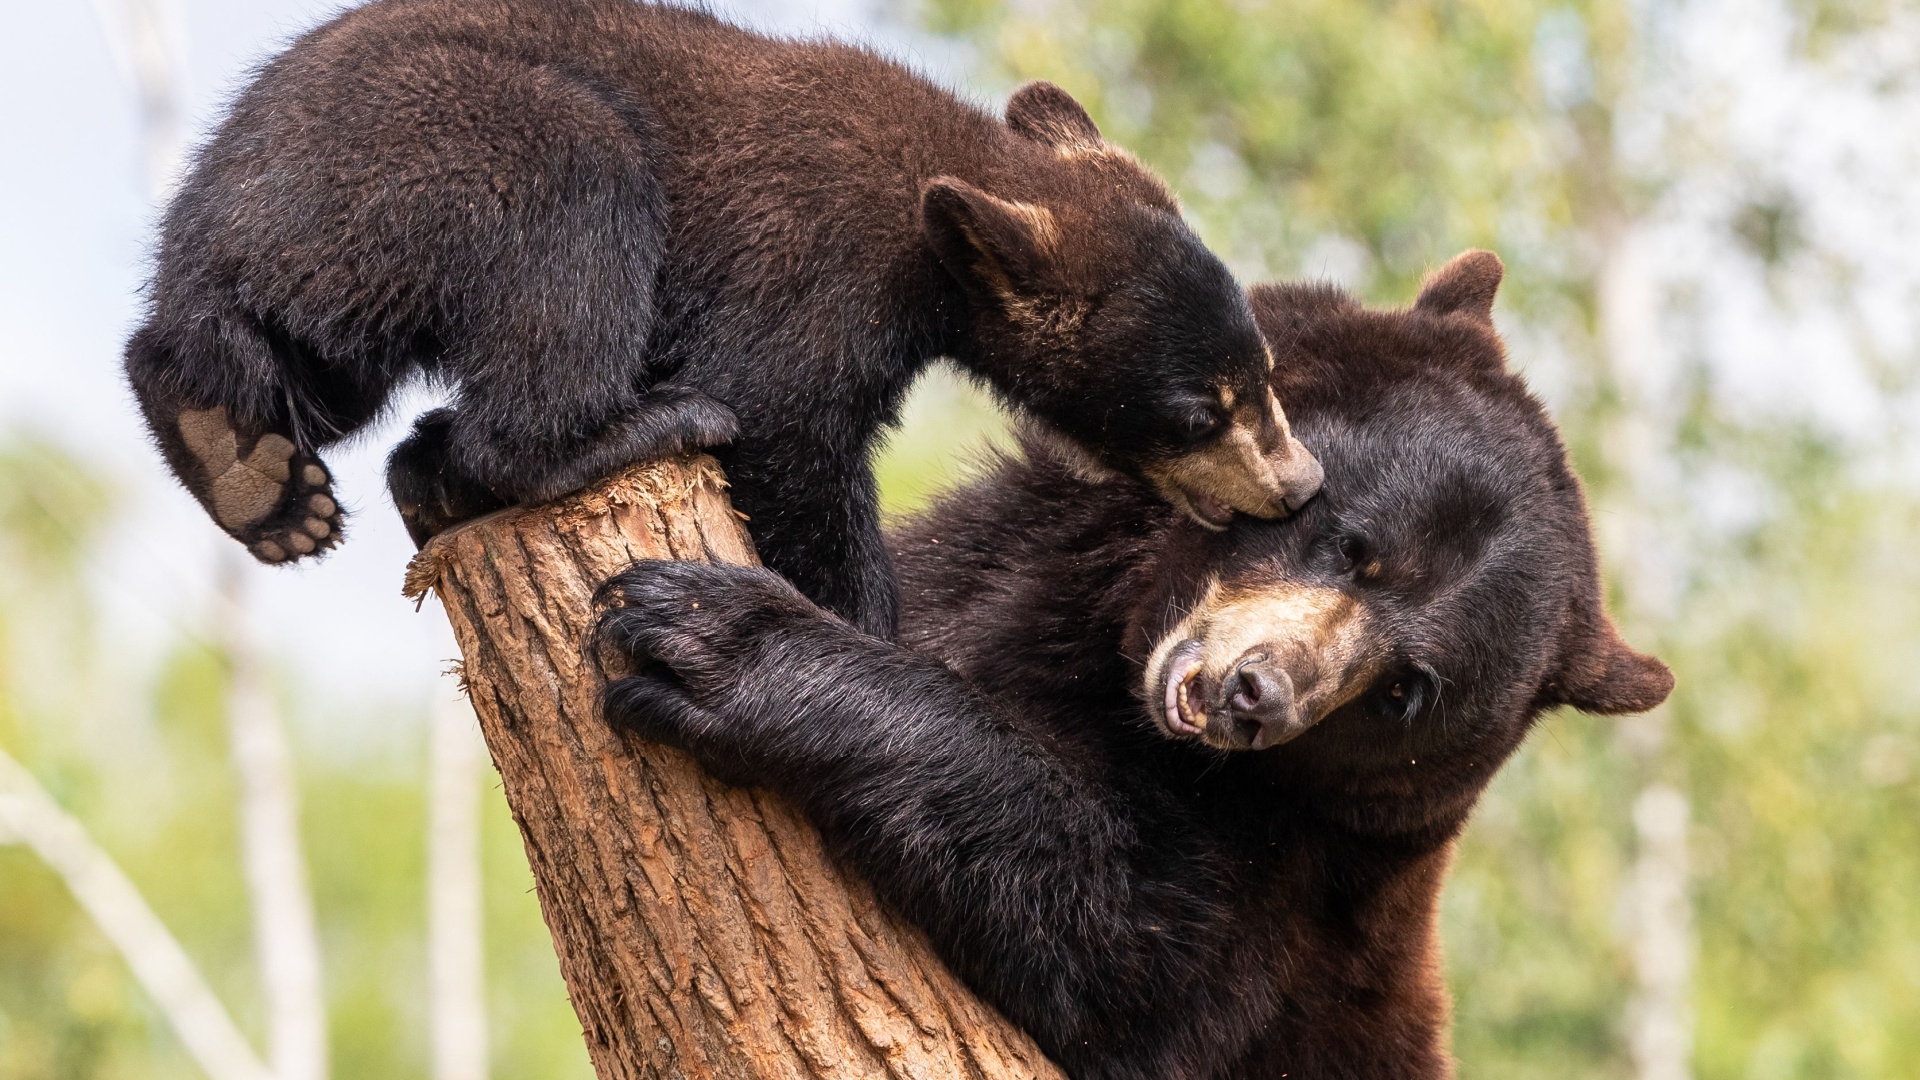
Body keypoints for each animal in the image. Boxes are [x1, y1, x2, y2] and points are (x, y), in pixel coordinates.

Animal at [122, 0, 1322, 640]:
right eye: (1197, 409)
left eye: (1262, 369)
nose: (1295, 483)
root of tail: (207, 212)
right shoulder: (813, 266)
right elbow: (785, 424)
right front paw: (867, 626)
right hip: (440, 145)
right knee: (573, 200)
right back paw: (622, 428)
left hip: (329, 261)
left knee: (282, 365)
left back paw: (256, 471)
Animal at [593, 250, 1675, 1079]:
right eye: (1353, 546)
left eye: (1407, 691)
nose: (1256, 695)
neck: (1116, 648)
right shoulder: (991, 563)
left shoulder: (1297, 900)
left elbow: (1125, 945)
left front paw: (714, 638)